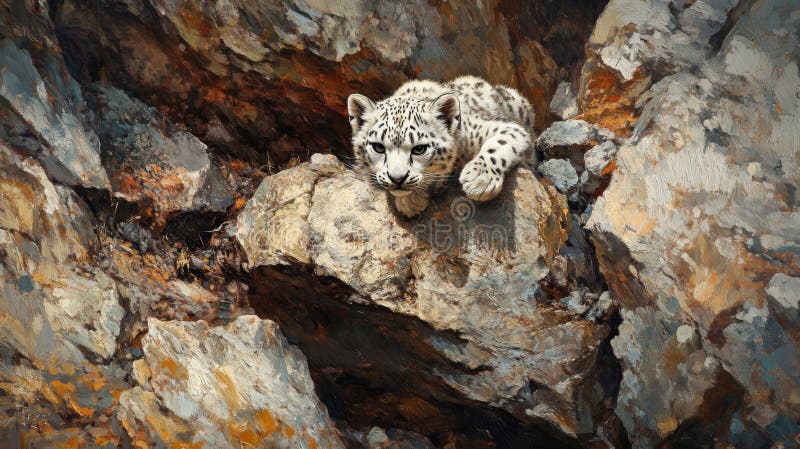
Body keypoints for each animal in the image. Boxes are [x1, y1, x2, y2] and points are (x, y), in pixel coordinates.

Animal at [347, 75, 537, 217]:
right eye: (378, 147)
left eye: (419, 149)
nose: (397, 179)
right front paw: (411, 201)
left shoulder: (503, 128)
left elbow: (499, 143)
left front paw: (480, 179)